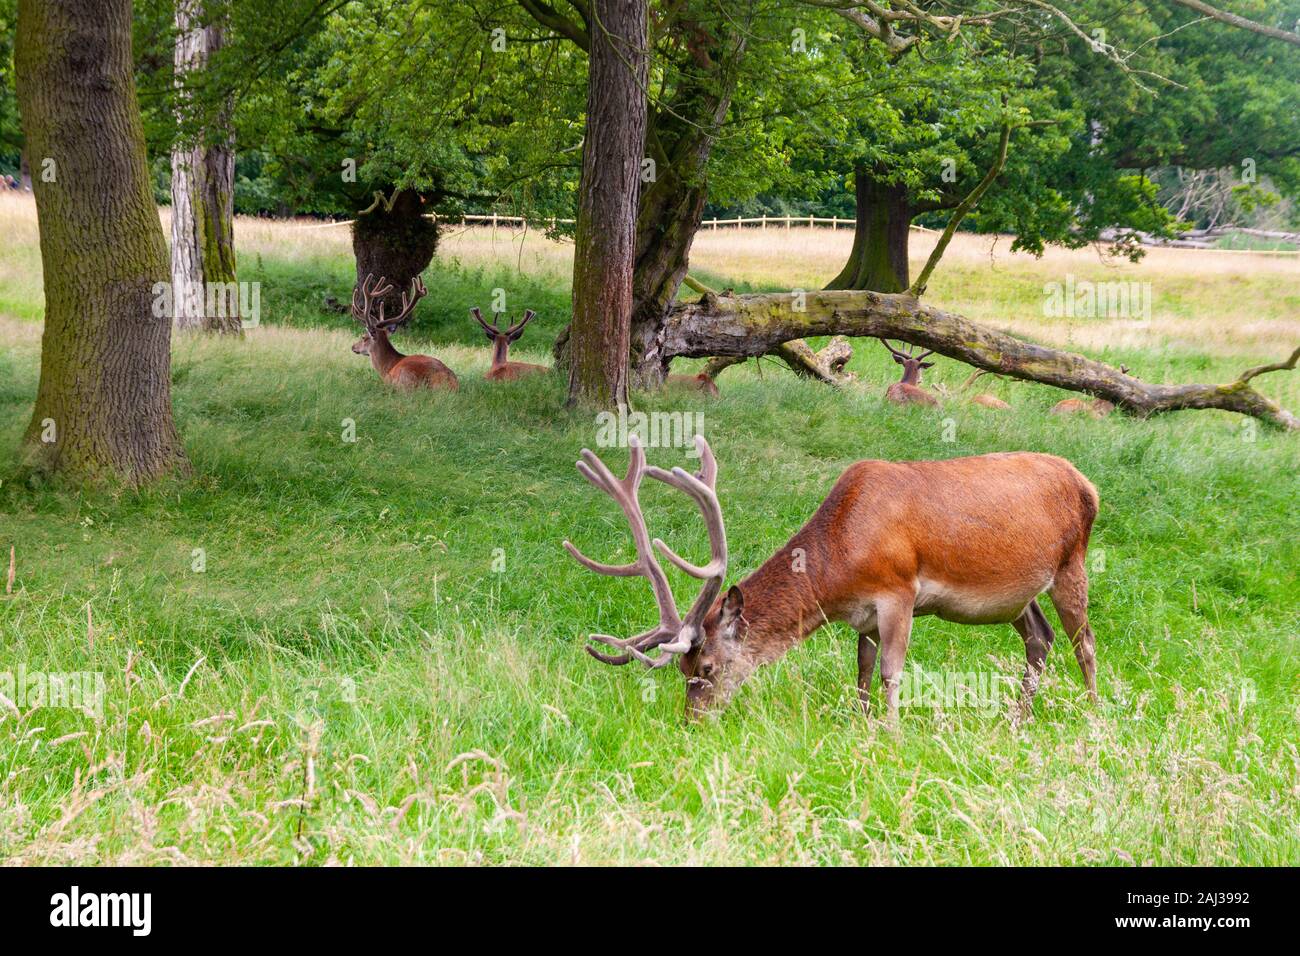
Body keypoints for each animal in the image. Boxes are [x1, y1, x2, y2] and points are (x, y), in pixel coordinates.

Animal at [563, 435, 1099, 723]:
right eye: (681, 668)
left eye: (708, 667)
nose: (692, 720)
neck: (841, 564)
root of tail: (1087, 483)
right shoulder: (863, 613)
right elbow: (861, 670)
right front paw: (862, 725)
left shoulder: (899, 591)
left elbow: (890, 671)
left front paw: (892, 733)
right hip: (1020, 595)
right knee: (1040, 637)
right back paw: (1017, 719)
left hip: (1072, 563)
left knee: (1085, 641)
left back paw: (1094, 718)